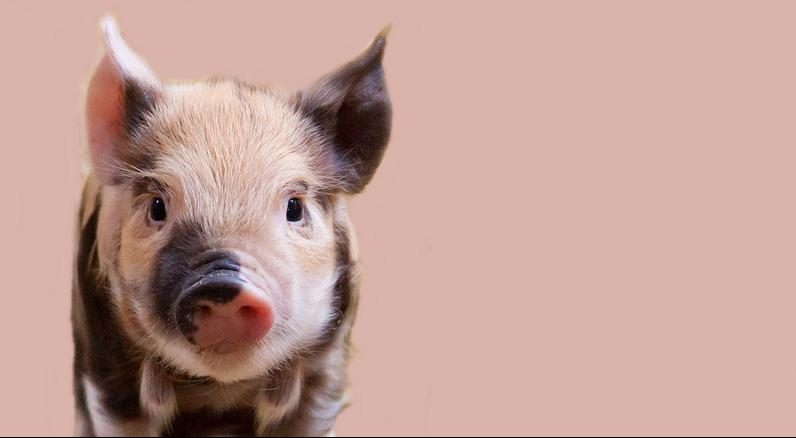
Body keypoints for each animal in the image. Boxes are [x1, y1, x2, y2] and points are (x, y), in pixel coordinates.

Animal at [72, 17, 391, 437]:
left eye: (294, 208)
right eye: (157, 207)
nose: (222, 282)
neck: (219, 396)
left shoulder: (327, 372)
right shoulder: (105, 368)